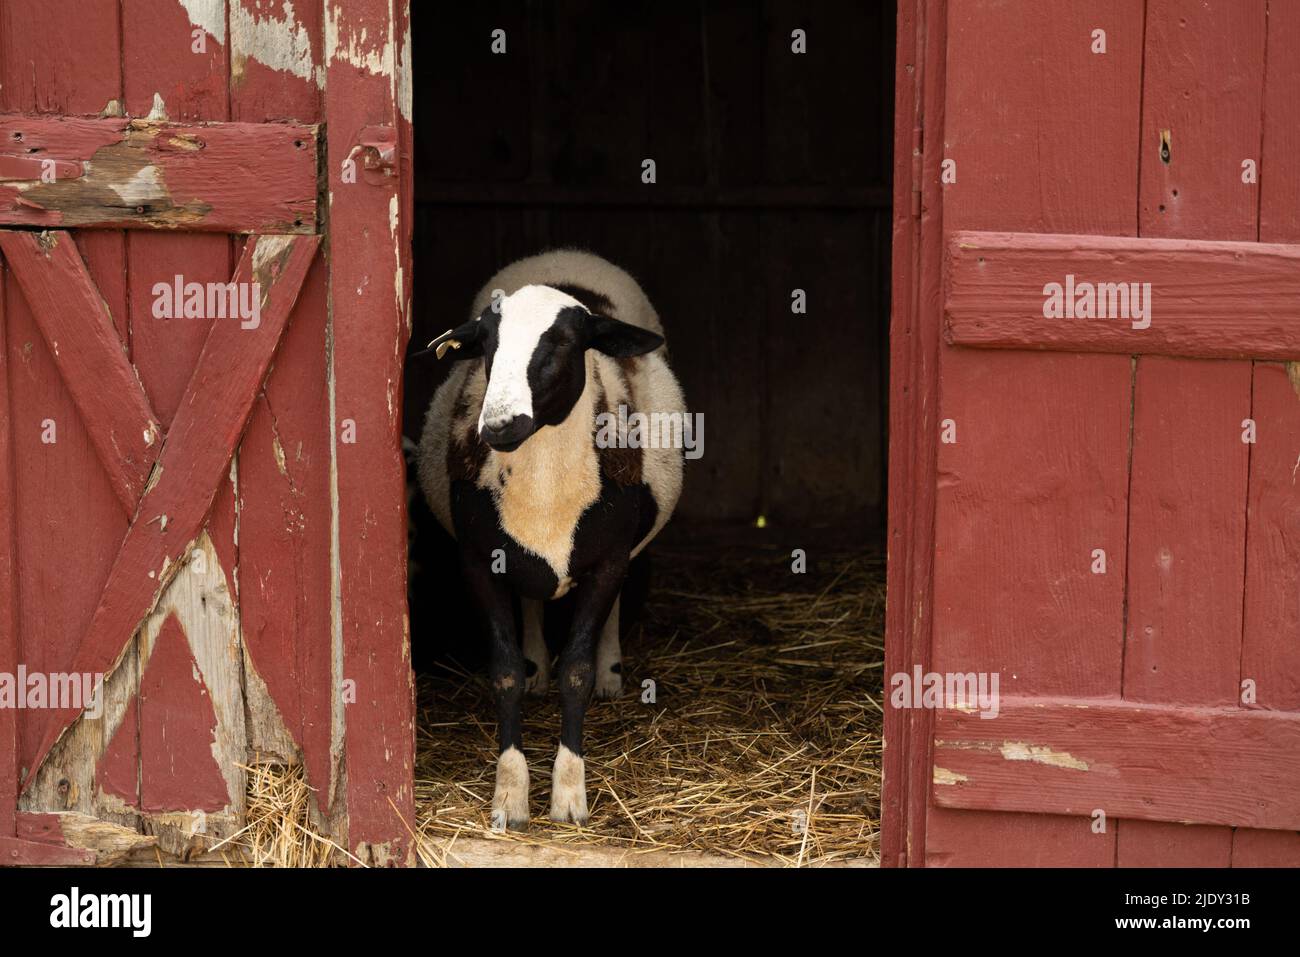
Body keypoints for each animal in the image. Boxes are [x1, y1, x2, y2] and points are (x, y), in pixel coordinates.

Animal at [416, 249, 686, 827]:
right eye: (485, 344)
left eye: (564, 342)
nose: (499, 425)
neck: (545, 489)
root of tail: (566, 255)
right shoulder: (479, 560)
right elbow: (504, 674)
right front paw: (510, 797)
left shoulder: (607, 559)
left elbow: (577, 674)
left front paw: (568, 795)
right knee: (533, 601)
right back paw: (539, 664)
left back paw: (610, 673)